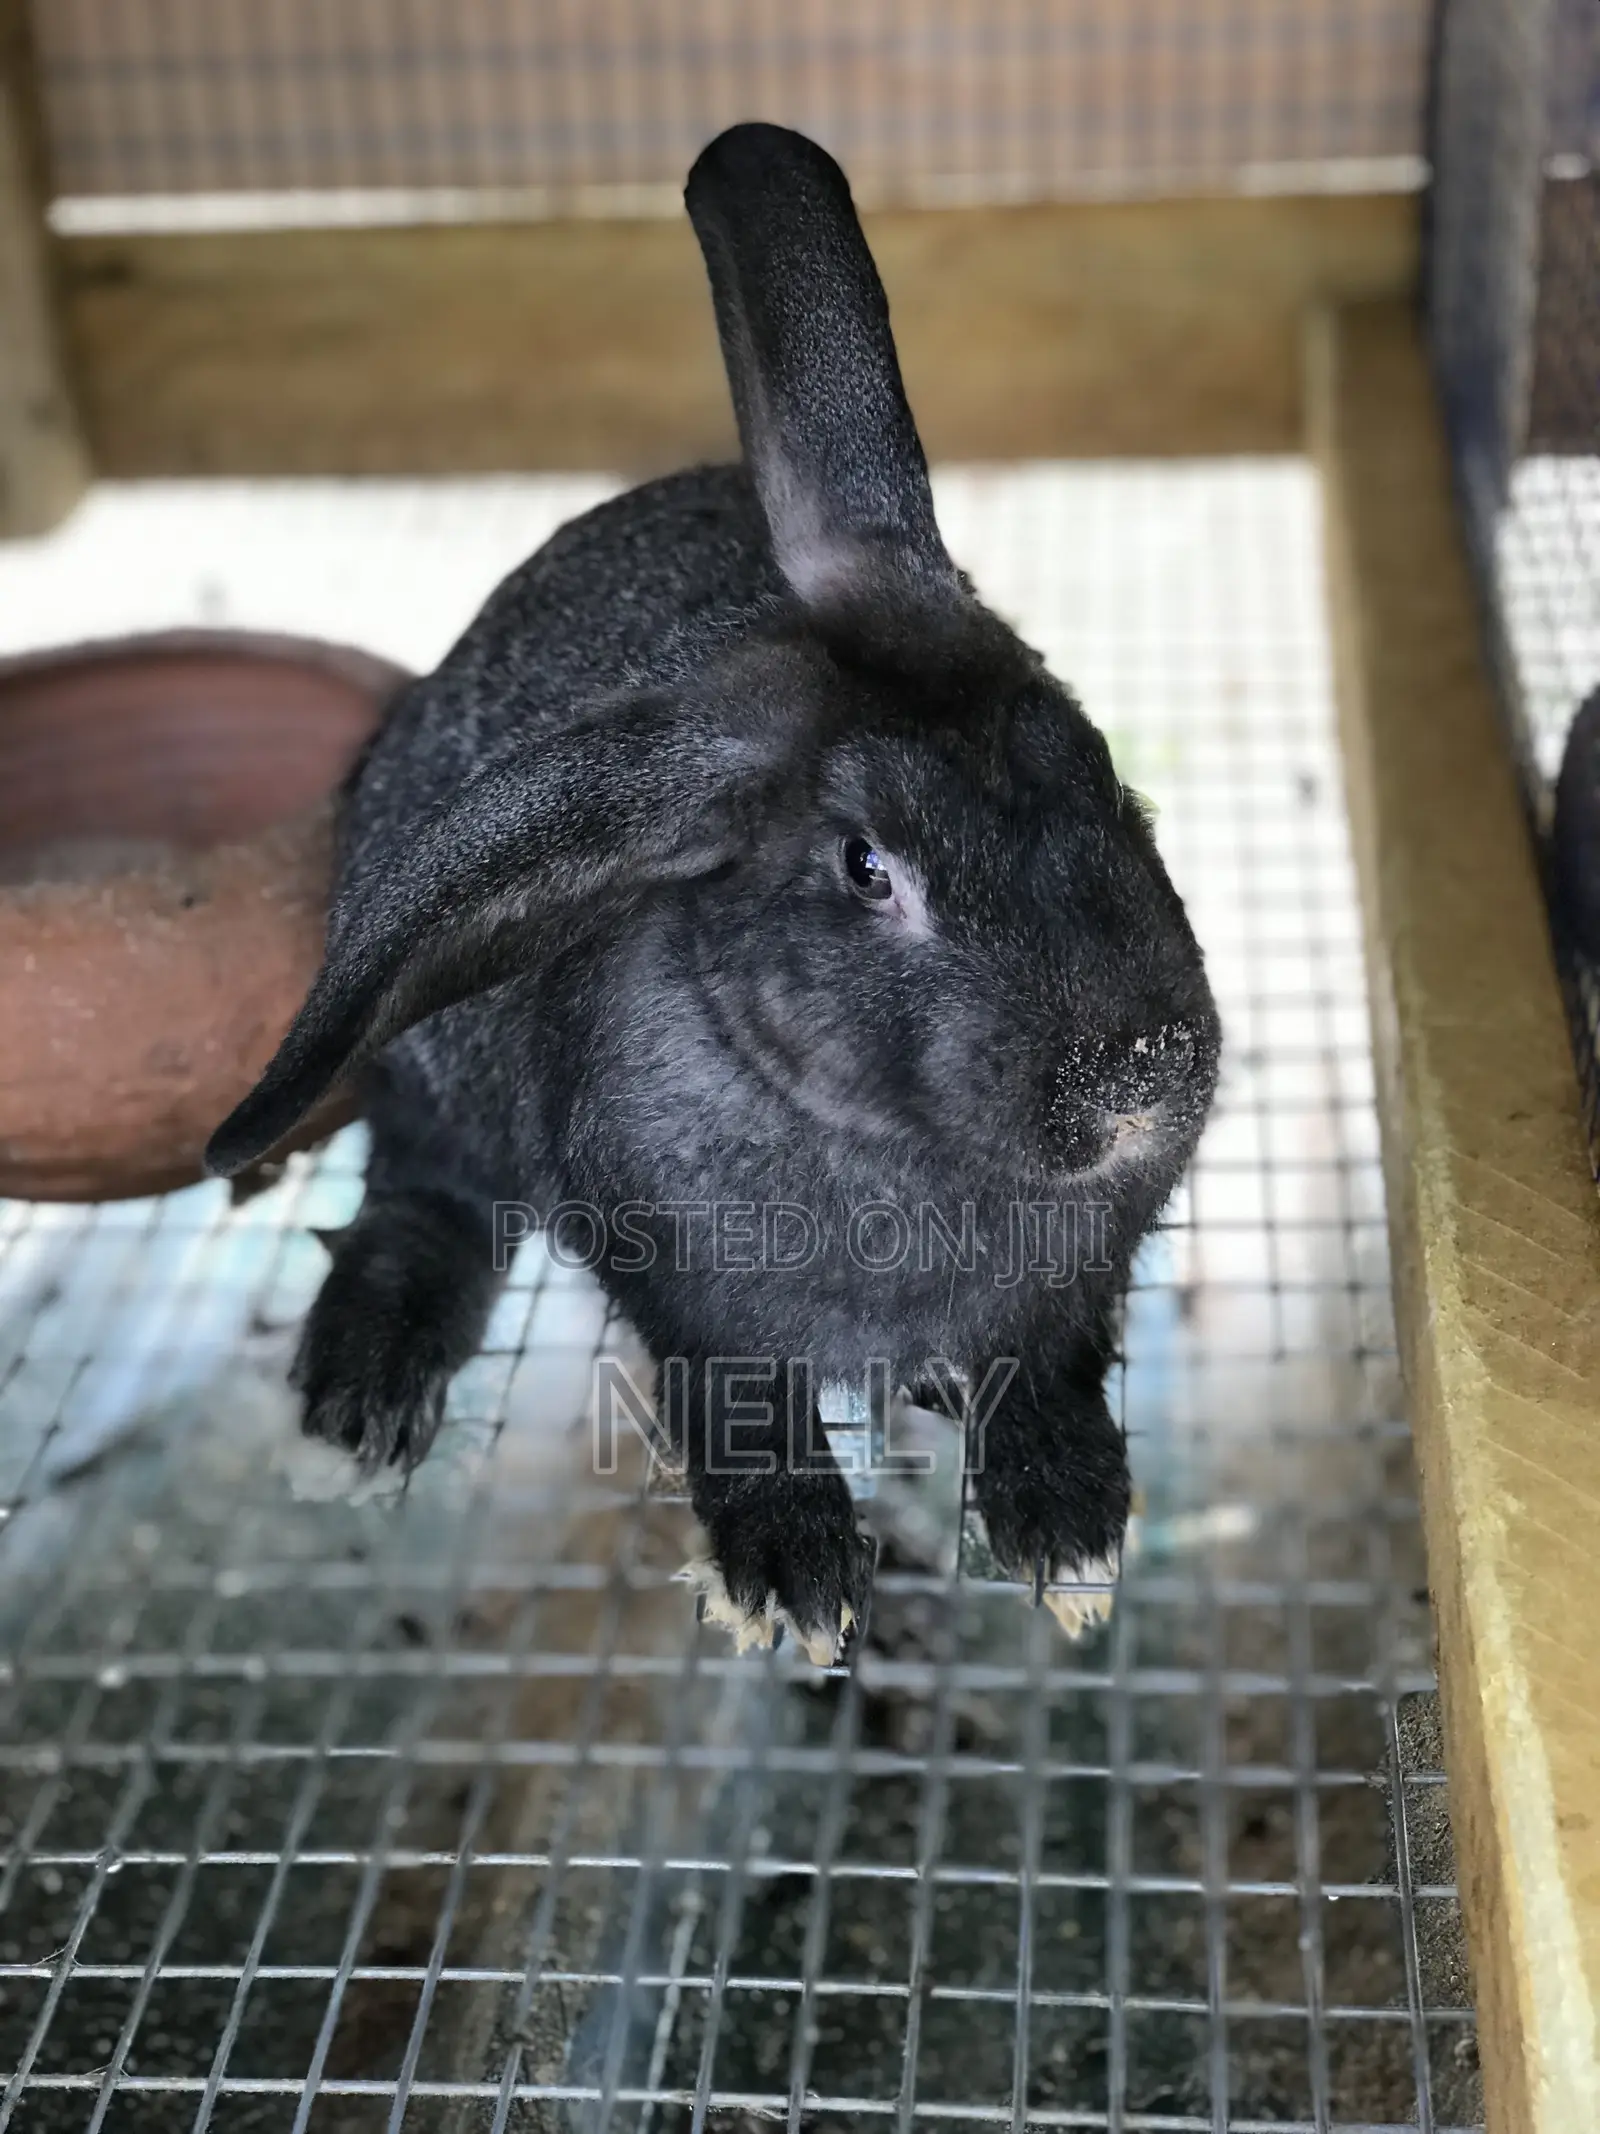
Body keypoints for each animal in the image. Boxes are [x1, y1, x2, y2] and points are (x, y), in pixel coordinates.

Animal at [205, 122, 1221, 1666]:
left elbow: (1043, 1371)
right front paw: (790, 1577)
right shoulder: (683, 1285)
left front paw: (1069, 1530)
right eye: (868, 867)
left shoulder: (1067, 1294)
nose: (1141, 1078)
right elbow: (739, 1411)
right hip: (434, 1073)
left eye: (1098, 762)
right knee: (423, 1197)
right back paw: (357, 1408)